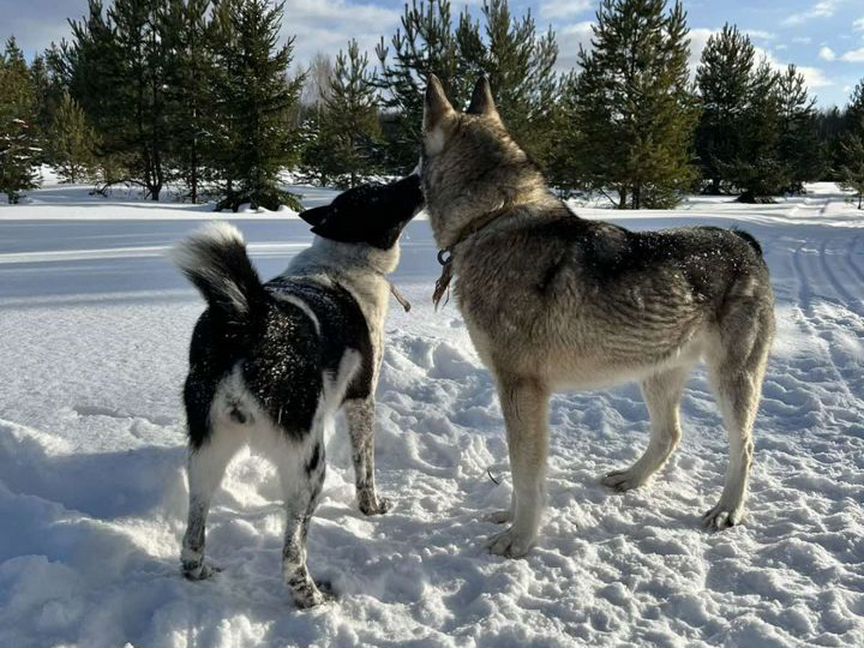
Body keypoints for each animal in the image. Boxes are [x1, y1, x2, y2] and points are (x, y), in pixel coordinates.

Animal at [173, 173, 426, 608]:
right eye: (382, 193)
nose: (418, 173)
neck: (343, 261)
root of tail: (250, 318)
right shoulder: (362, 400)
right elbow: (365, 468)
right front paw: (373, 508)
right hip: (309, 464)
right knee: (292, 550)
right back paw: (311, 595)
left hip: (208, 451)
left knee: (193, 534)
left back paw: (200, 570)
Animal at [418, 76, 776, 560]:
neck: (493, 218)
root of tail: (743, 240)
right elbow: (520, 472)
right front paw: (510, 519)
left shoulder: (522, 390)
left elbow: (526, 476)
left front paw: (520, 539)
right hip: (656, 373)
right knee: (670, 435)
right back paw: (632, 477)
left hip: (732, 383)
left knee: (746, 447)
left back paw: (727, 510)